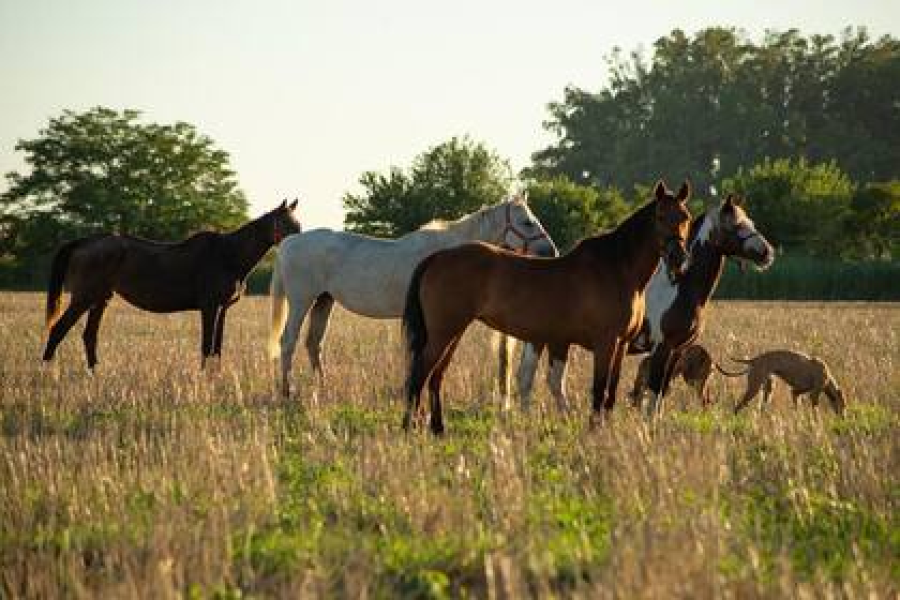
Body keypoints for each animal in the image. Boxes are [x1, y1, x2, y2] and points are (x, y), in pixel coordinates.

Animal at [42, 200, 301, 369]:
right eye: (288, 226)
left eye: (298, 226)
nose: (298, 246)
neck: (228, 255)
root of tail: (84, 242)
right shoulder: (210, 307)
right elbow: (206, 346)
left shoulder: (223, 309)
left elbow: (217, 349)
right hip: (83, 298)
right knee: (58, 330)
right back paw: (47, 373)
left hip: (100, 299)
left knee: (89, 336)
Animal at [268, 195, 557, 398]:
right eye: (527, 222)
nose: (550, 251)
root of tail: (288, 244)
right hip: (301, 302)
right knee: (288, 342)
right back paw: (287, 391)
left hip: (324, 301)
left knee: (313, 344)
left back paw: (323, 387)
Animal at [402, 180, 693, 434]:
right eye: (660, 216)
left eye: (685, 217)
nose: (679, 259)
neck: (616, 268)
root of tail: (438, 257)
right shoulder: (605, 343)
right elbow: (599, 390)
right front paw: (594, 431)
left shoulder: (620, 345)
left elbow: (610, 391)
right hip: (444, 333)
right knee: (419, 375)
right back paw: (409, 429)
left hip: (453, 332)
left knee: (436, 376)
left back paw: (438, 428)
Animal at [515, 194, 774, 418]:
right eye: (736, 225)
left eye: (750, 222)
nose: (767, 253)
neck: (678, 287)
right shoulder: (662, 347)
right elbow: (654, 392)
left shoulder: (678, 350)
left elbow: (660, 395)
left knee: (527, 379)